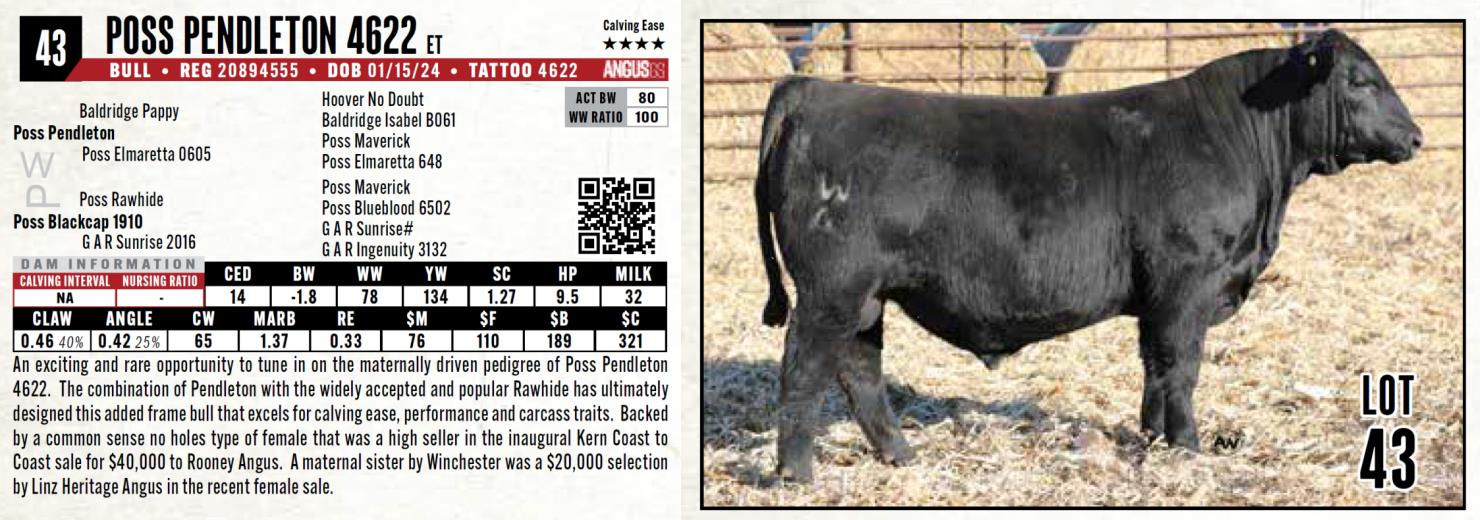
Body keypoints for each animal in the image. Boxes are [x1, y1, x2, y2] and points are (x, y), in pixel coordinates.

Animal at [753, 29, 1422, 482]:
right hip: (832, 290)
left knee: (859, 370)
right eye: (1361, 81)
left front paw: (1152, 436)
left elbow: (1155, 368)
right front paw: (1187, 446)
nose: (1416, 137)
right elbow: (1182, 367)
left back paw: (900, 456)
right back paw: (797, 473)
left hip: (866, 297)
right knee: (804, 368)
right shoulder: (1188, 283)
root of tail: (812, 89)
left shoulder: (1160, 297)